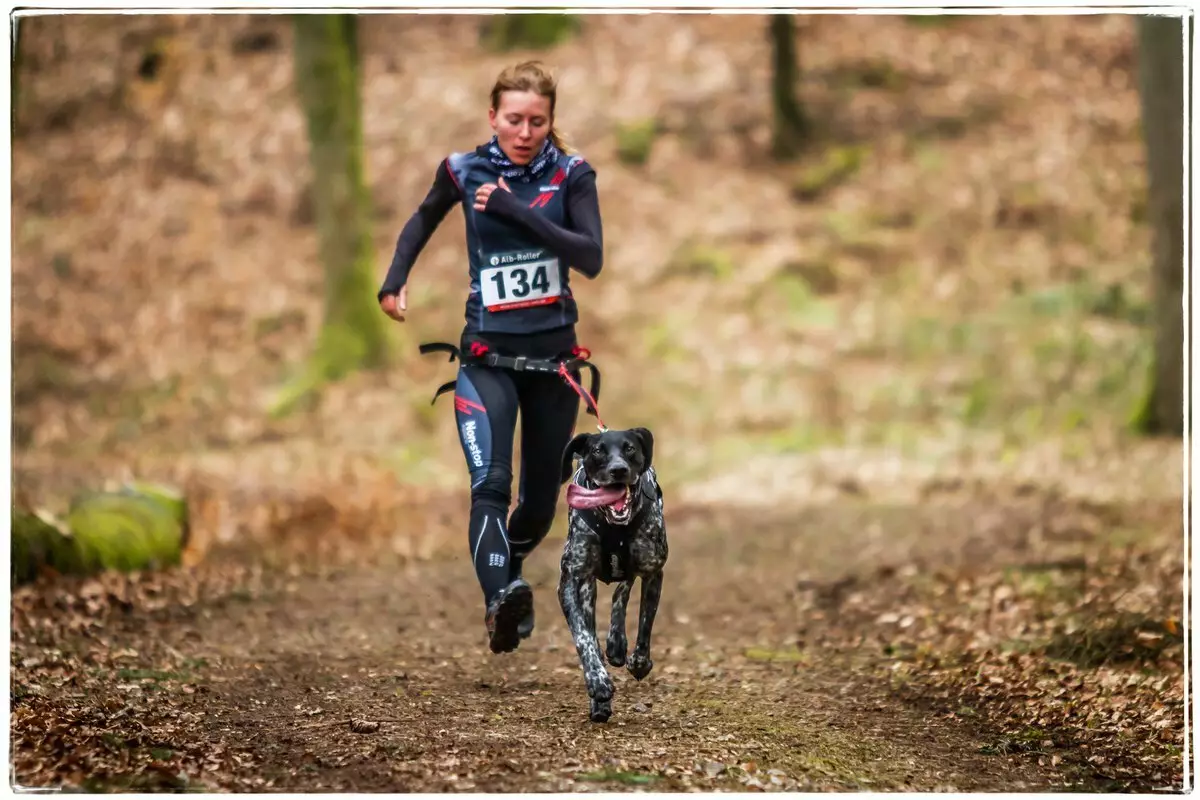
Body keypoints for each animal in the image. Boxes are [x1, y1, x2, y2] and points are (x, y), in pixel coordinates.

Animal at [559, 429, 672, 724]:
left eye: (629, 448)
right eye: (597, 451)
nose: (618, 469)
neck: (614, 527)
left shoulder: (653, 572)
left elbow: (645, 625)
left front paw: (639, 662)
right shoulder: (571, 581)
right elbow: (584, 638)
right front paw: (598, 682)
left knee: (622, 593)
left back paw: (617, 644)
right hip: (587, 589)